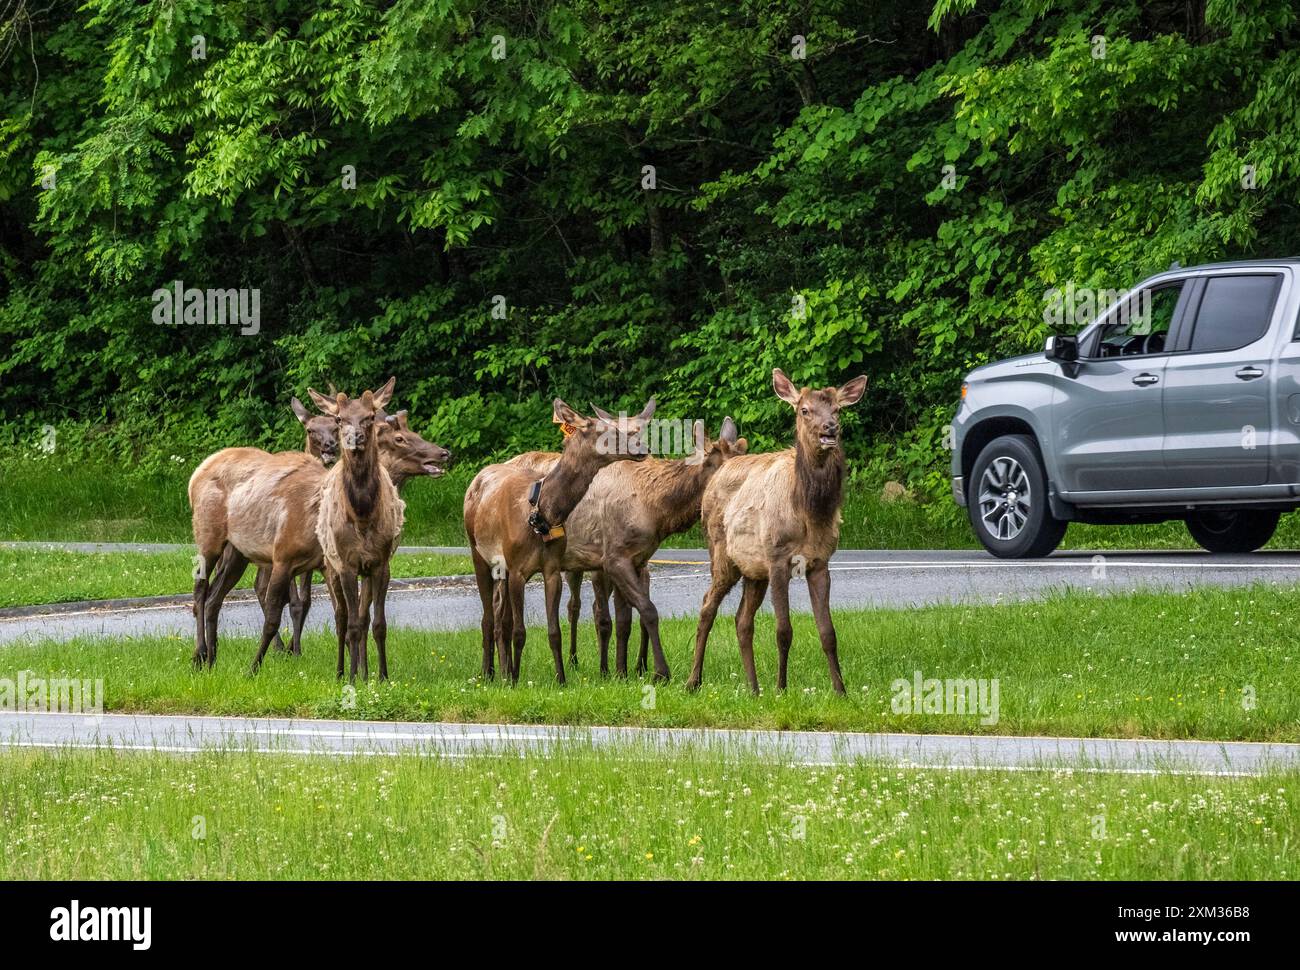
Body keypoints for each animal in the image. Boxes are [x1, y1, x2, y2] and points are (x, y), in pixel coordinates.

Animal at [463, 397, 655, 685]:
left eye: (640, 431)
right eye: (607, 430)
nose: (643, 449)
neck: (540, 514)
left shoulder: (552, 569)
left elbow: (555, 631)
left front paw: (562, 678)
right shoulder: (519, 569)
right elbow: (521, 630)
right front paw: (516, 680)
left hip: (504, 568)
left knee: (501, 616)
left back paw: (502, 670)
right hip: (478, 553)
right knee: (489, 617)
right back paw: (490, 673)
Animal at [507, 418, 747, 678]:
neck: (659, 510)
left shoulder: (636, 559)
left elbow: (625, 621)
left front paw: (622, 671)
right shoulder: (615, 558)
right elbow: (648, 611)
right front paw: (660, 672)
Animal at [685, 368, 867, 695]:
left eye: (837, 409)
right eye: (804, 409)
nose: (830, 429)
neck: (809, 513)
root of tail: (722, 467)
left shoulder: (820, 562)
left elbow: (828, 632)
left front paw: (841, 690)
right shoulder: (777, 558)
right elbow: (784, 631)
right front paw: (782, 687)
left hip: (753, 570)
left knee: (742, 620)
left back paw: (754, 687)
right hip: (722, 555)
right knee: (707, 607)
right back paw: (693, 681)